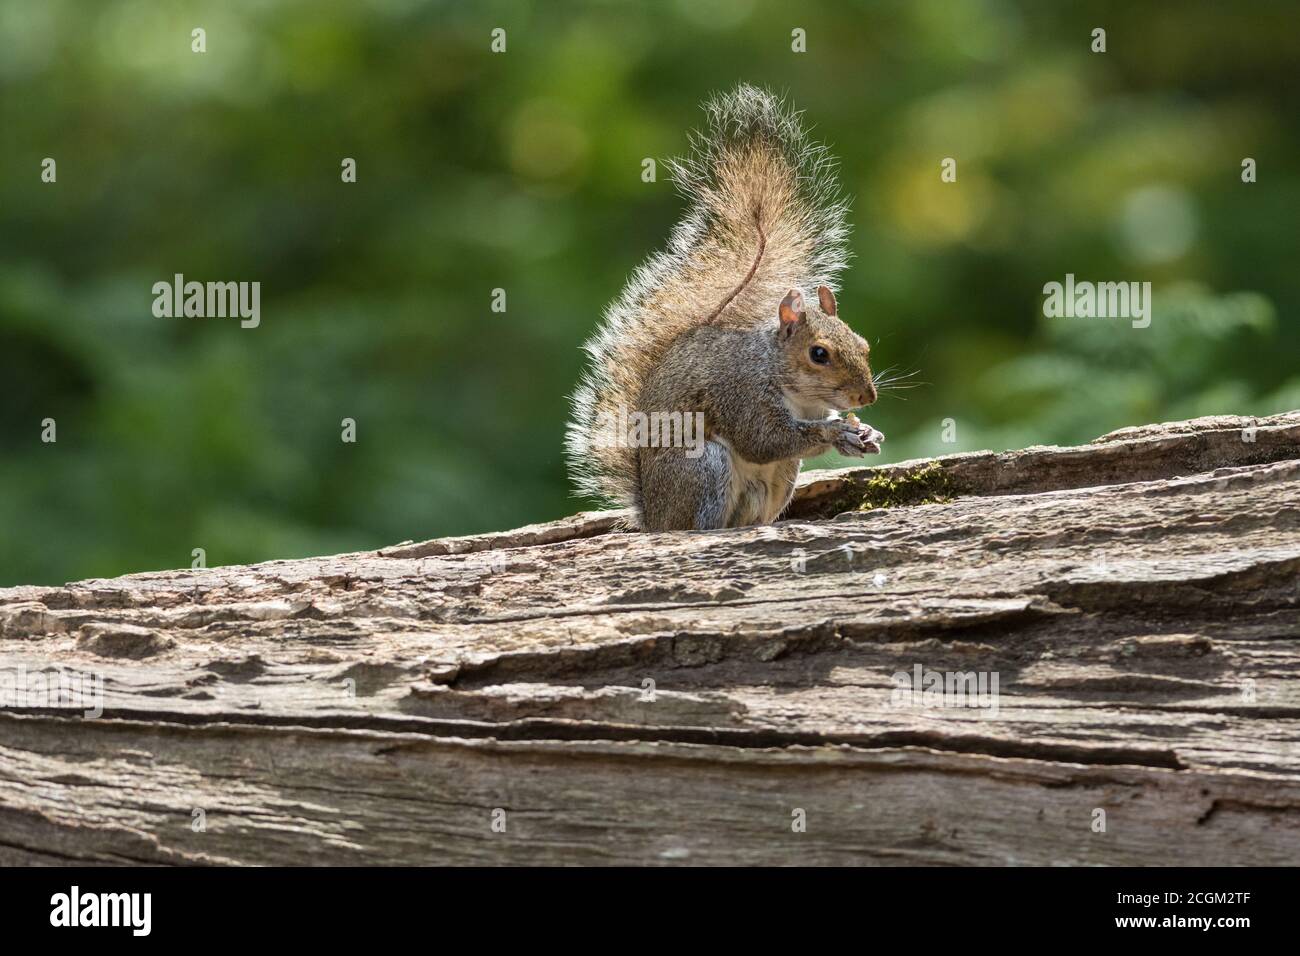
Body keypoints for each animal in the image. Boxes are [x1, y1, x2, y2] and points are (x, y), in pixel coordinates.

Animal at [566, 84, 884, 532]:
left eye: (864, 345)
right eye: (818, 354)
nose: (866, 397)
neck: (784, 378)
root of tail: (655, 516)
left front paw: (867, 433)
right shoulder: (742, 395)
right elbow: (764, 440)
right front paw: (837, 433)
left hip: (778, 479)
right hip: (703, 467)